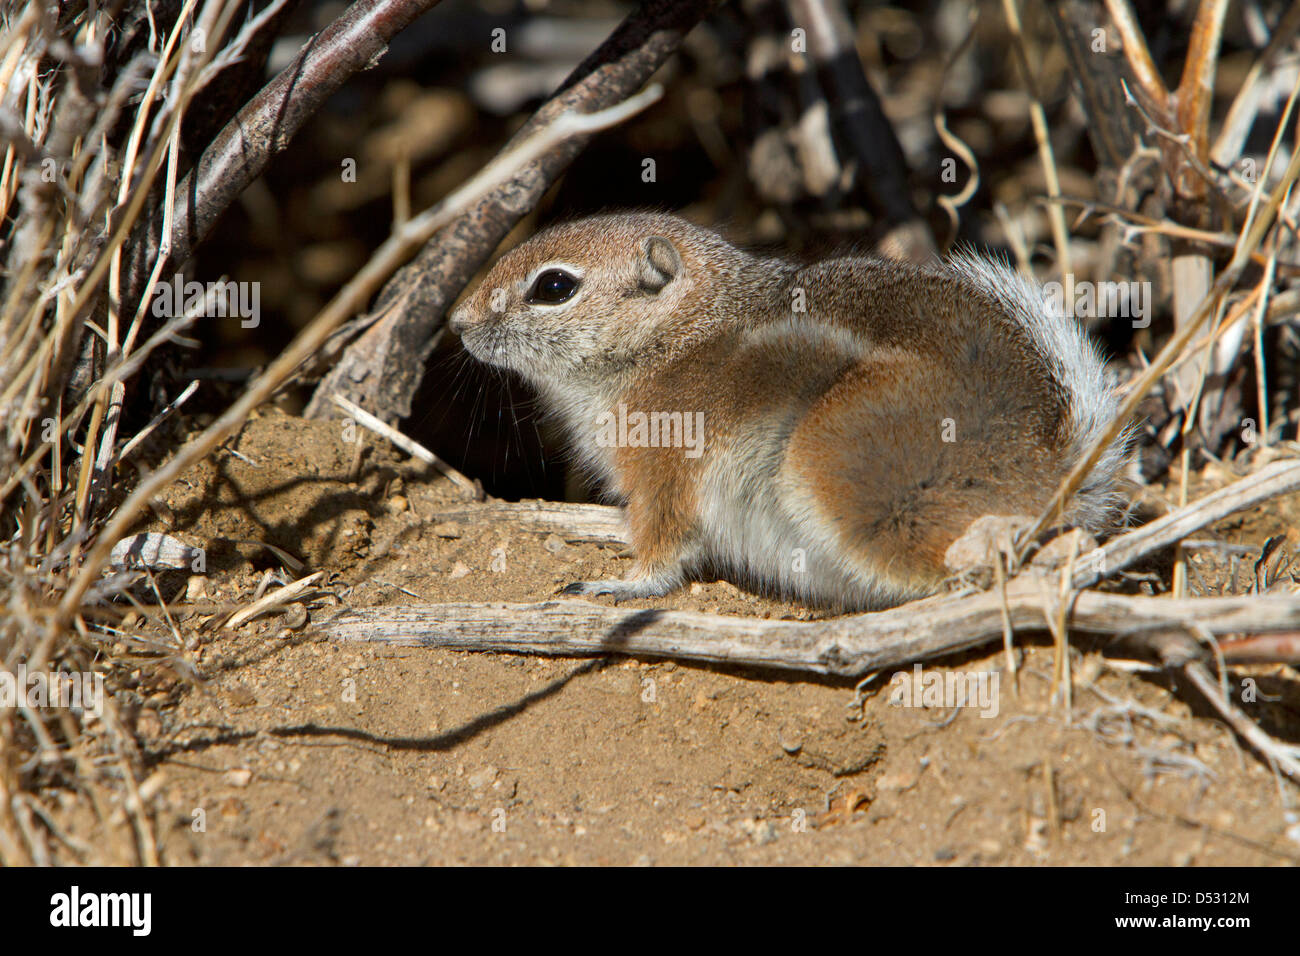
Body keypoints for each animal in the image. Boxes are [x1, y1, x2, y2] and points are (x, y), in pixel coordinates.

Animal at [448, 212, 1129, 612]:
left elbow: (663, 551)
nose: (455, 322)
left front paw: (618, 582)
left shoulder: (664, 469)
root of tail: (1049, 463)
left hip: (834, 460)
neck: (672, 342)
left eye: (553, 286)